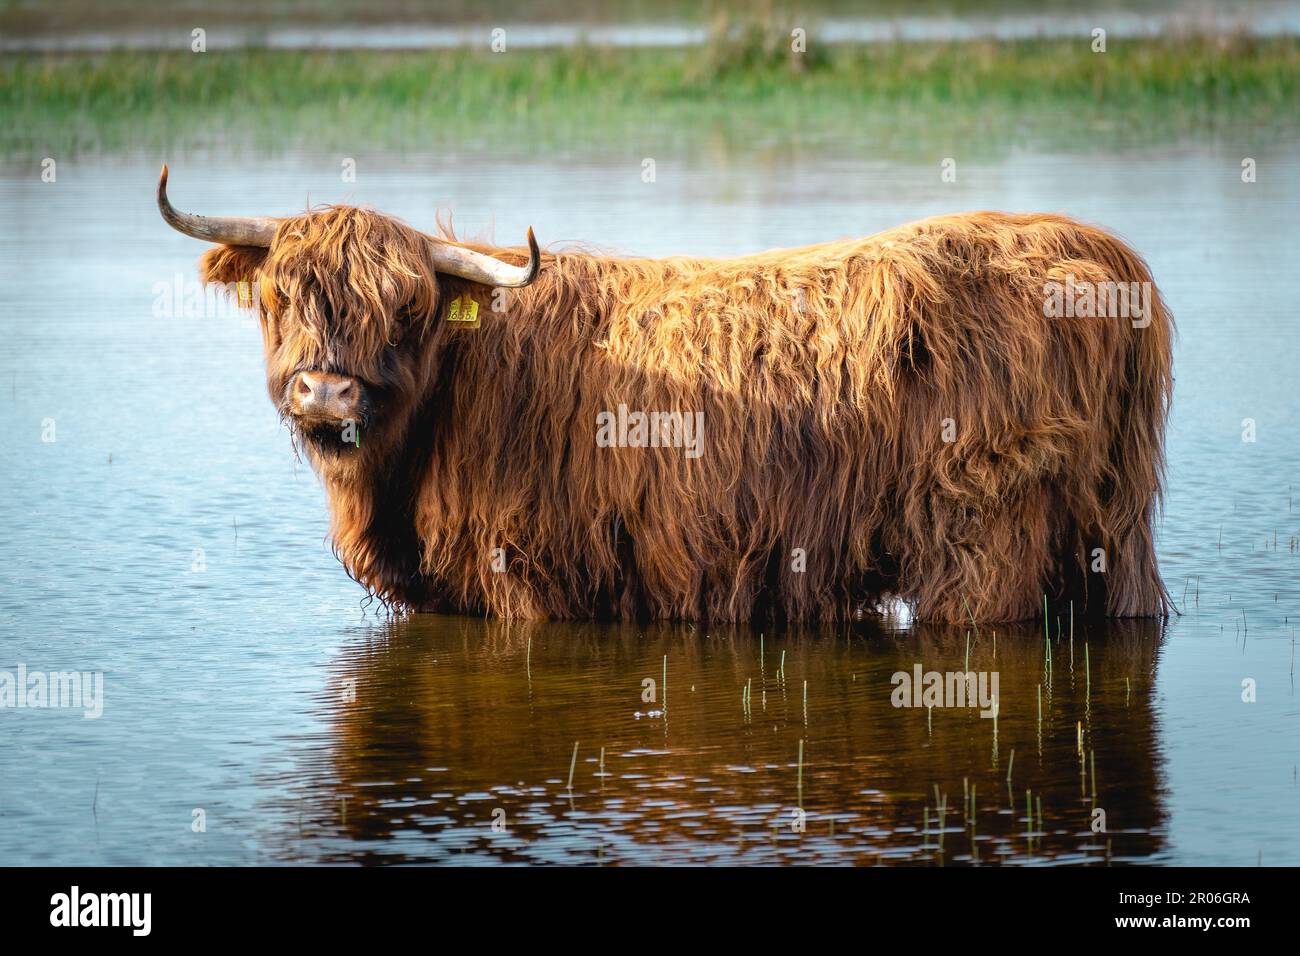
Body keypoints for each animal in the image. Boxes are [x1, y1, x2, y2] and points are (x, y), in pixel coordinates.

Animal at [157, 165, 1173, 624]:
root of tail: (1095, 249)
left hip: (985, 533)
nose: (328, 393)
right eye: (280, 296)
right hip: (1110, 534)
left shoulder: (527, 575)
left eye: (408, 307)